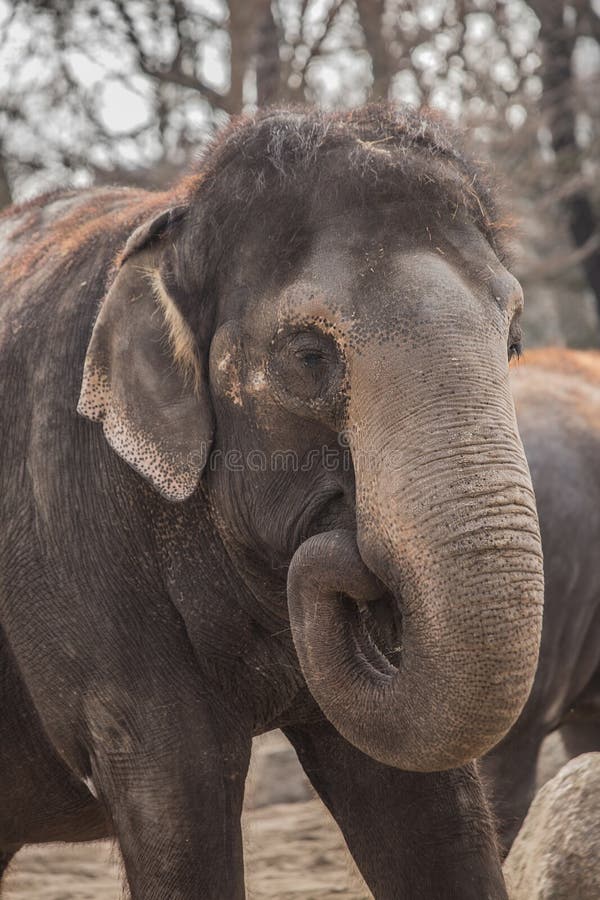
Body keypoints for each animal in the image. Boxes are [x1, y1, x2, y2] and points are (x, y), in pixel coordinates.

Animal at [0, 106, 544, 899]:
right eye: (309, 356)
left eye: (513, 343)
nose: (349, 548)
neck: (174, 214)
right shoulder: (71, 526)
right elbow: (179, 802)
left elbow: (426, 808)